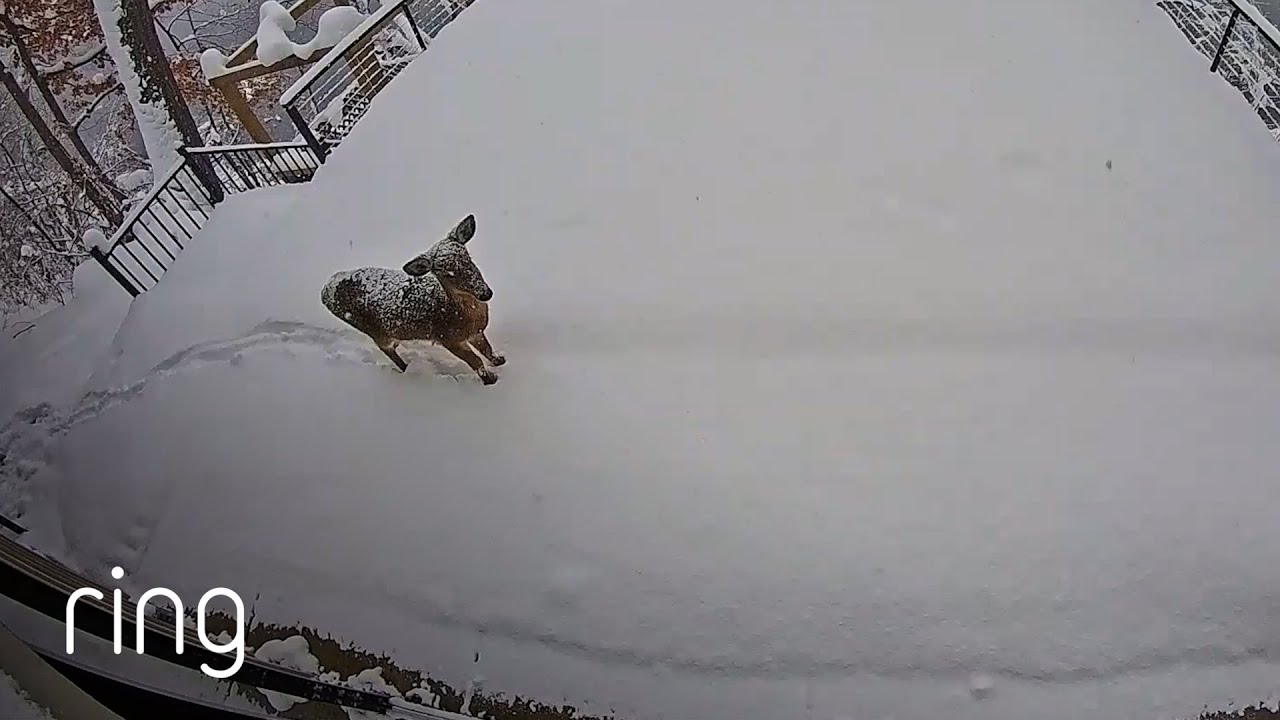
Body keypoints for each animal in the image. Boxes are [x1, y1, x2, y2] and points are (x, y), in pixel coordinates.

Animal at [320, 214, 505, 384]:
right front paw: (490, 380)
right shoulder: (447, 338)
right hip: (371, 329)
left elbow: (487, 349)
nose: (486, 293)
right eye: (448, 273)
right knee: (387, 350)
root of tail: (326, 289)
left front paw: (500, 361)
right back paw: (405, 369)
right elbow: (475, 361)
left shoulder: (476, 332)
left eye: (468, 258)